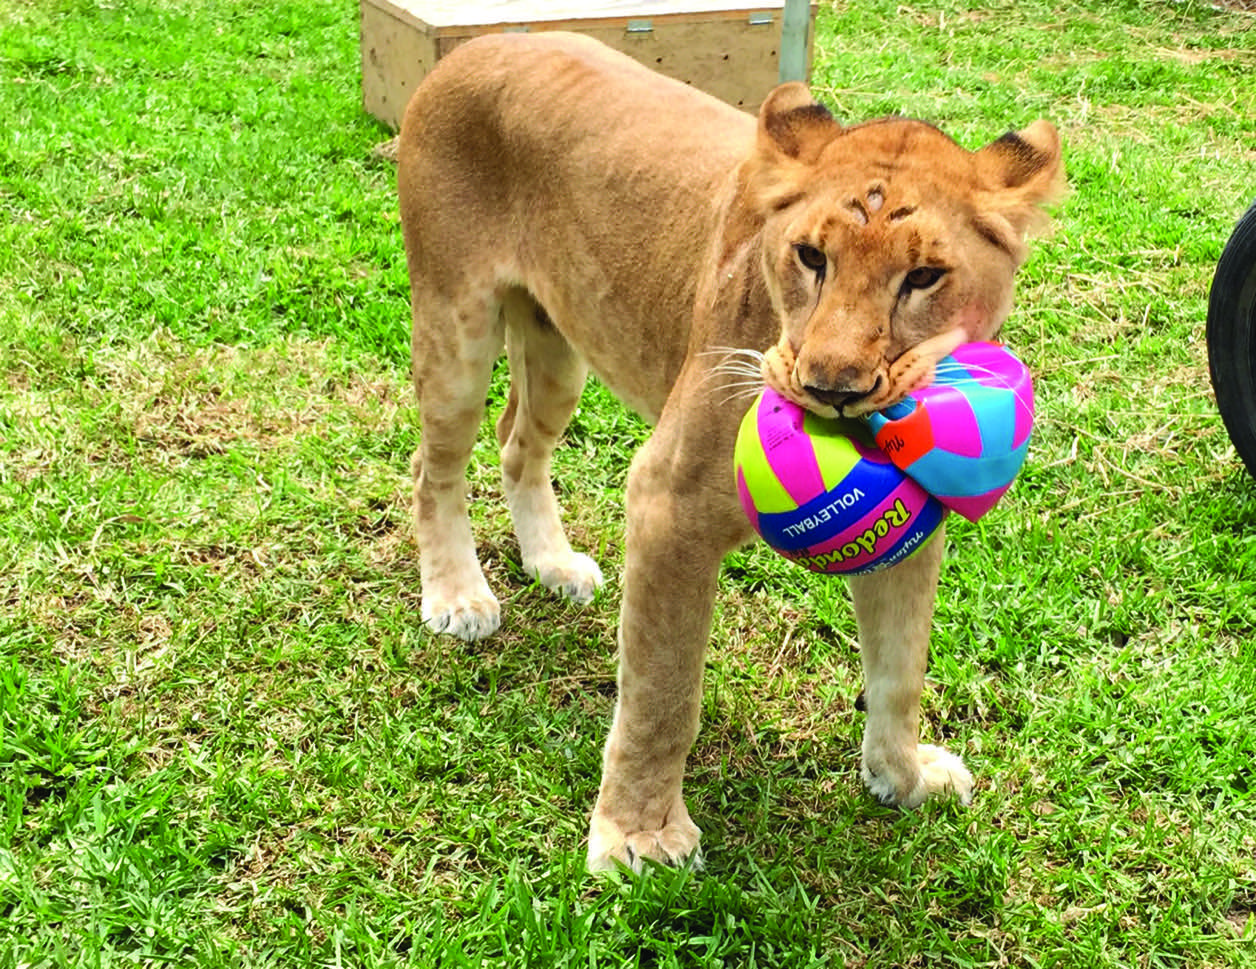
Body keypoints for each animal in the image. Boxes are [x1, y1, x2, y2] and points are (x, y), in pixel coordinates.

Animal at [396, 31, 1064, 872]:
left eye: (924, 275)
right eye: (811, 257)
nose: (832, 387)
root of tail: (481, 43)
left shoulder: (913, 534)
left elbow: (900, 670)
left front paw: (904, 777)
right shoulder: (666, 501)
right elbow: (663, 688)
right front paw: (640, 835)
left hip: (558, 347)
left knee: (519, 446)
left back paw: (551, 564)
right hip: (457, 326)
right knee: (434, 468)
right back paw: (459, 597)